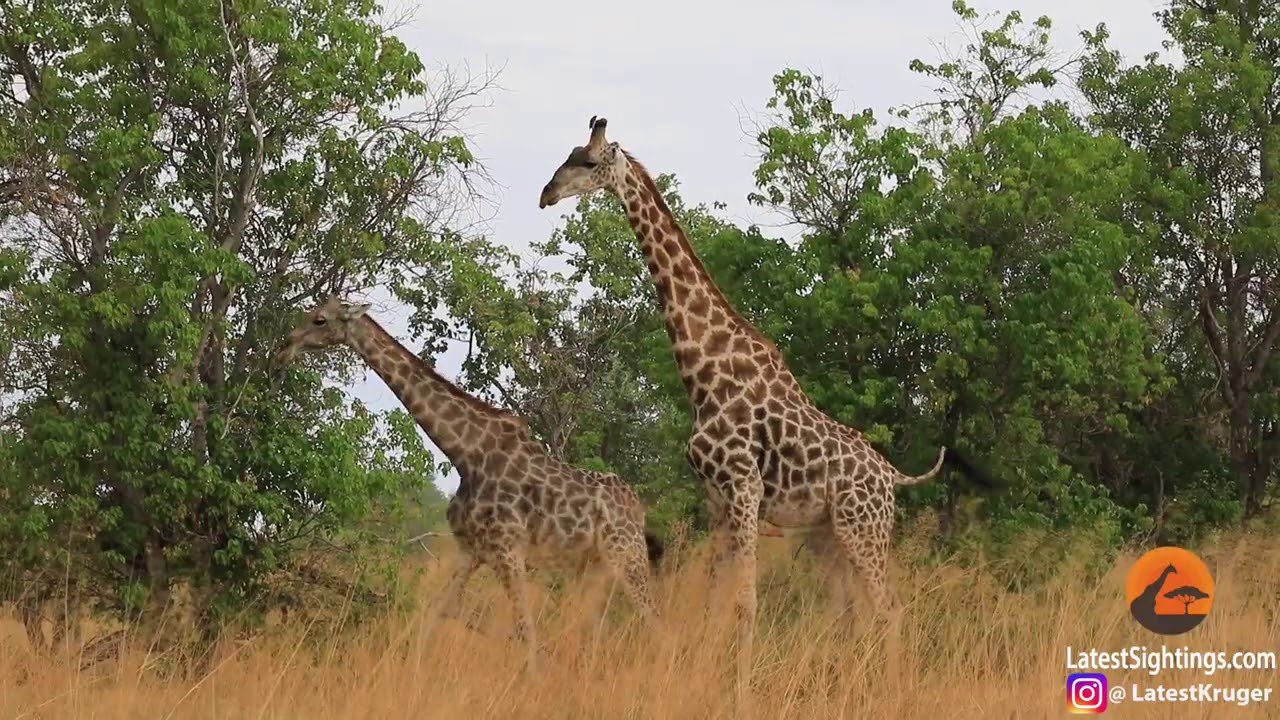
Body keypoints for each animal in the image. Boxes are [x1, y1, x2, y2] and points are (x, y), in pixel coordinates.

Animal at [275, 296, 663, 669]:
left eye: (320, 319)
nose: (285, 345)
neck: (465, 453)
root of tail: (639, 508)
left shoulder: (509, 551)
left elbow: (525, 629)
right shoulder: (470, 550)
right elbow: (436, 613)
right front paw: (406, 670)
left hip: (626, 555)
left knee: (653, 620)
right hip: (593, 565)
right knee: (598, 624)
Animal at [537, 116, 999, 702]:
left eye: (589, 161)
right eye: (569, 153)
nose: (546, 194)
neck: (703, 368)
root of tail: (893, 477)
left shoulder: (743, 488)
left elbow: (745, 603)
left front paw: (740, 694)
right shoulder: (716, 499)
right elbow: (712, 605)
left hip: (864, 528)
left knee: (889, 609)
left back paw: (893, 693)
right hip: (829, 533)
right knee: (849, 613)